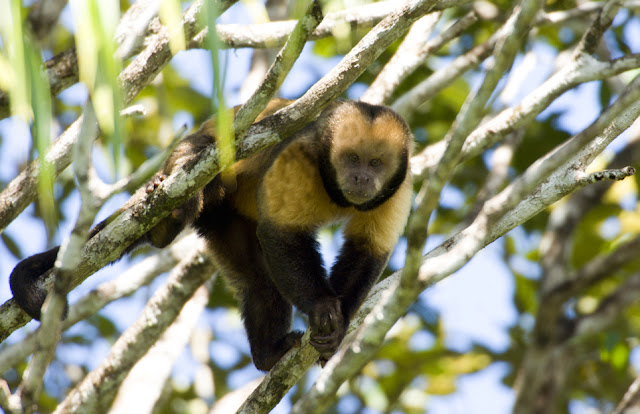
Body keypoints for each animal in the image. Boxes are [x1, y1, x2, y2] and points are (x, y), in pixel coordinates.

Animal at [10, 98, 413, 371]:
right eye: (352, 159)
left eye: (375, 163)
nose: (361, 177)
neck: (335, 191)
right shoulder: (299, 154)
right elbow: (280, 234)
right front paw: (321, 307)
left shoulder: (399, 185)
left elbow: (368, 251)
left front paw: (339, 325)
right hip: (212, 193)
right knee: (201, 153)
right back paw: (168, 219)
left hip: (226, 221)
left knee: (259, 284)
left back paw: (269, 354)